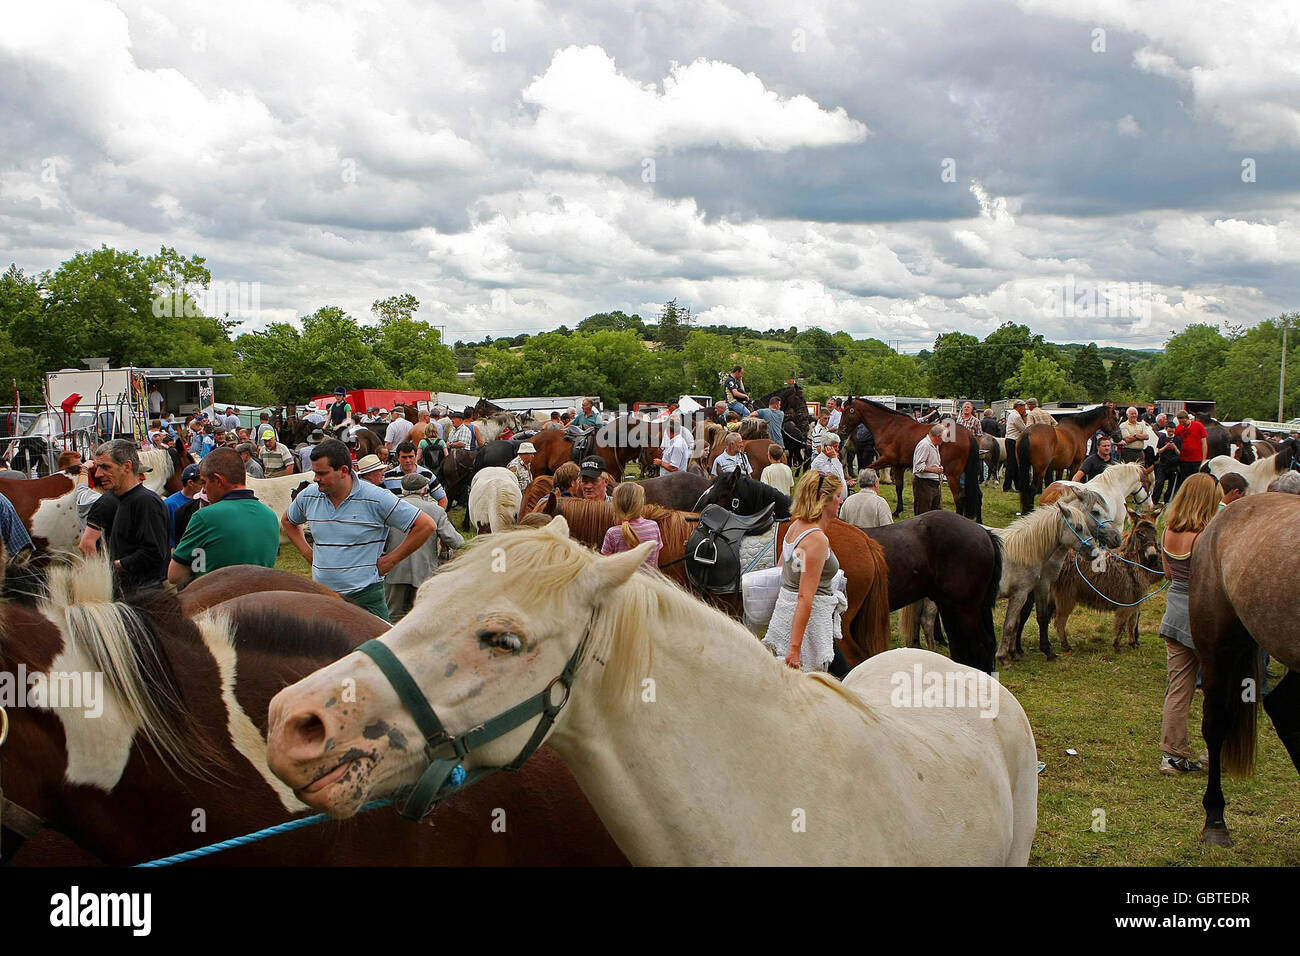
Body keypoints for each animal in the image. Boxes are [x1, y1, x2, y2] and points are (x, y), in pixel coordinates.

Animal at [838, 398, 982, 520]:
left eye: (846, 411)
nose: (840, 431)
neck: (888, 425)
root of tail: (968, 435)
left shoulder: (888, 459)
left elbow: (865, 469)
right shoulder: (898, 465)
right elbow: (899, 487)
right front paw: (898, 511)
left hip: (952, 475)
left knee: (959, 497)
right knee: (976, 494)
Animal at [1050, 509, 1163, 653]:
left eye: (1155, 533)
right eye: (1140, 533)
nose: (1153, 556)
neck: (1132, 564)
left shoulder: (1135, 603)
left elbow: (1132, 623)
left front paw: (1133, 643)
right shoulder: (1127, 604)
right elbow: (1121, 624)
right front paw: (1117, 646)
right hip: (1066, 596)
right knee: (1059, 621)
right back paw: (1066, 645)